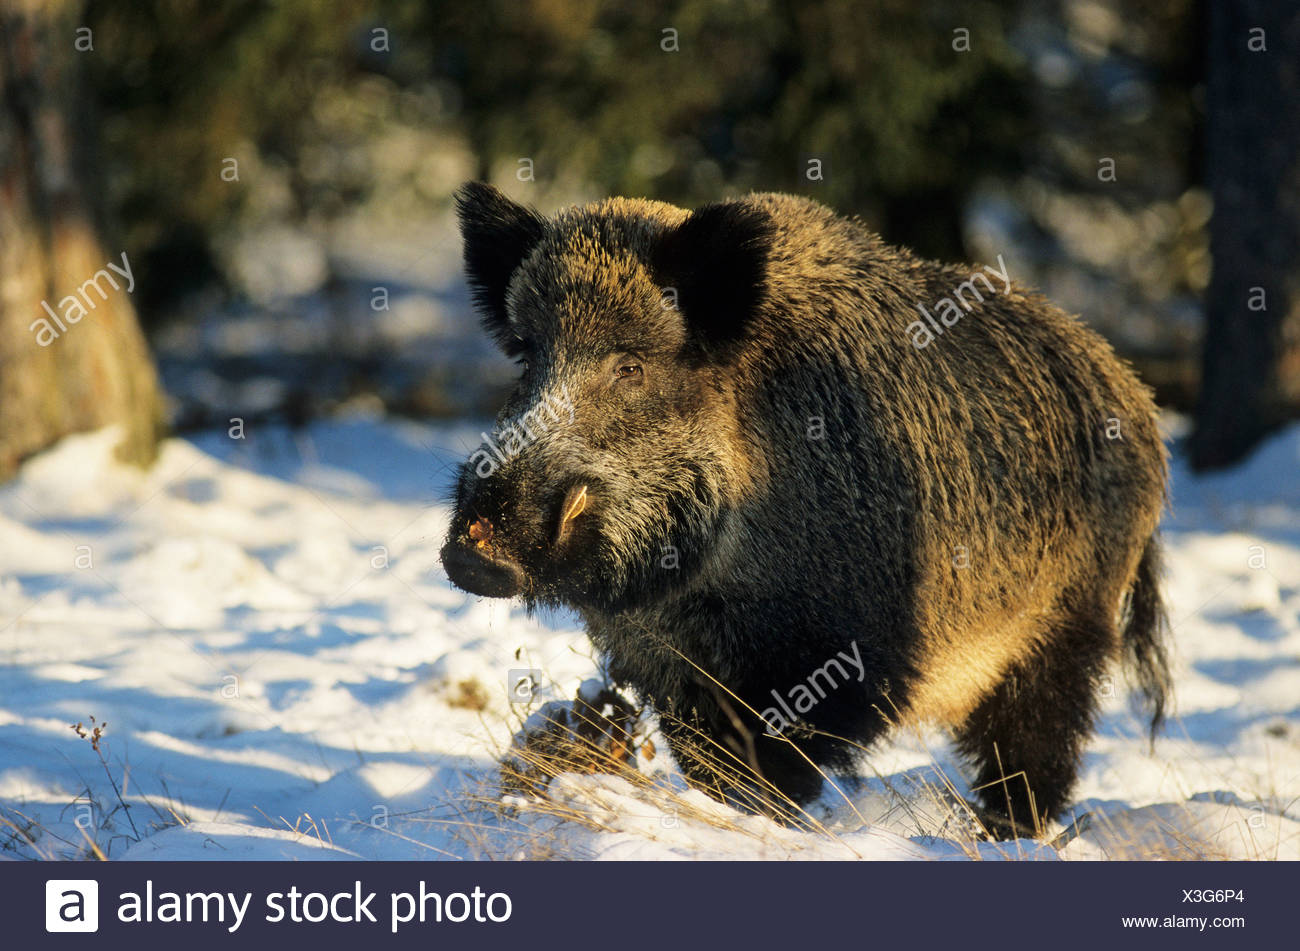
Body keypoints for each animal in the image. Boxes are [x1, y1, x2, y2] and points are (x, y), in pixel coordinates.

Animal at [440, 182, 1171, 838]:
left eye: (630, 366)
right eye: (529, 356)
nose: (472, 552)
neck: (702, 581)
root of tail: (1137, 399)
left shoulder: (824, 651)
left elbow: (777, 761)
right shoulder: (664, 659)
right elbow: (706, 756)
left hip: (1066, 622)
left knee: (1037, 739)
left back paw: (1003, 832)